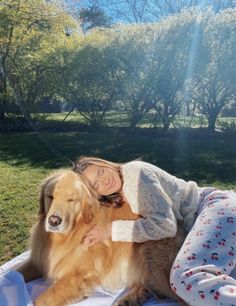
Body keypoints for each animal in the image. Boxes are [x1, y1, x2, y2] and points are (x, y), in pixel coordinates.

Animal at [16, 170, 187, 306]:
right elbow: (15, 273)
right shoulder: (38, 261)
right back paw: (129, 299)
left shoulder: (79, 274)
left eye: (71, 200)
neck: (68, 234)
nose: (53, 221)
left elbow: (42, 299)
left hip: (153, 261)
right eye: (50, 196)